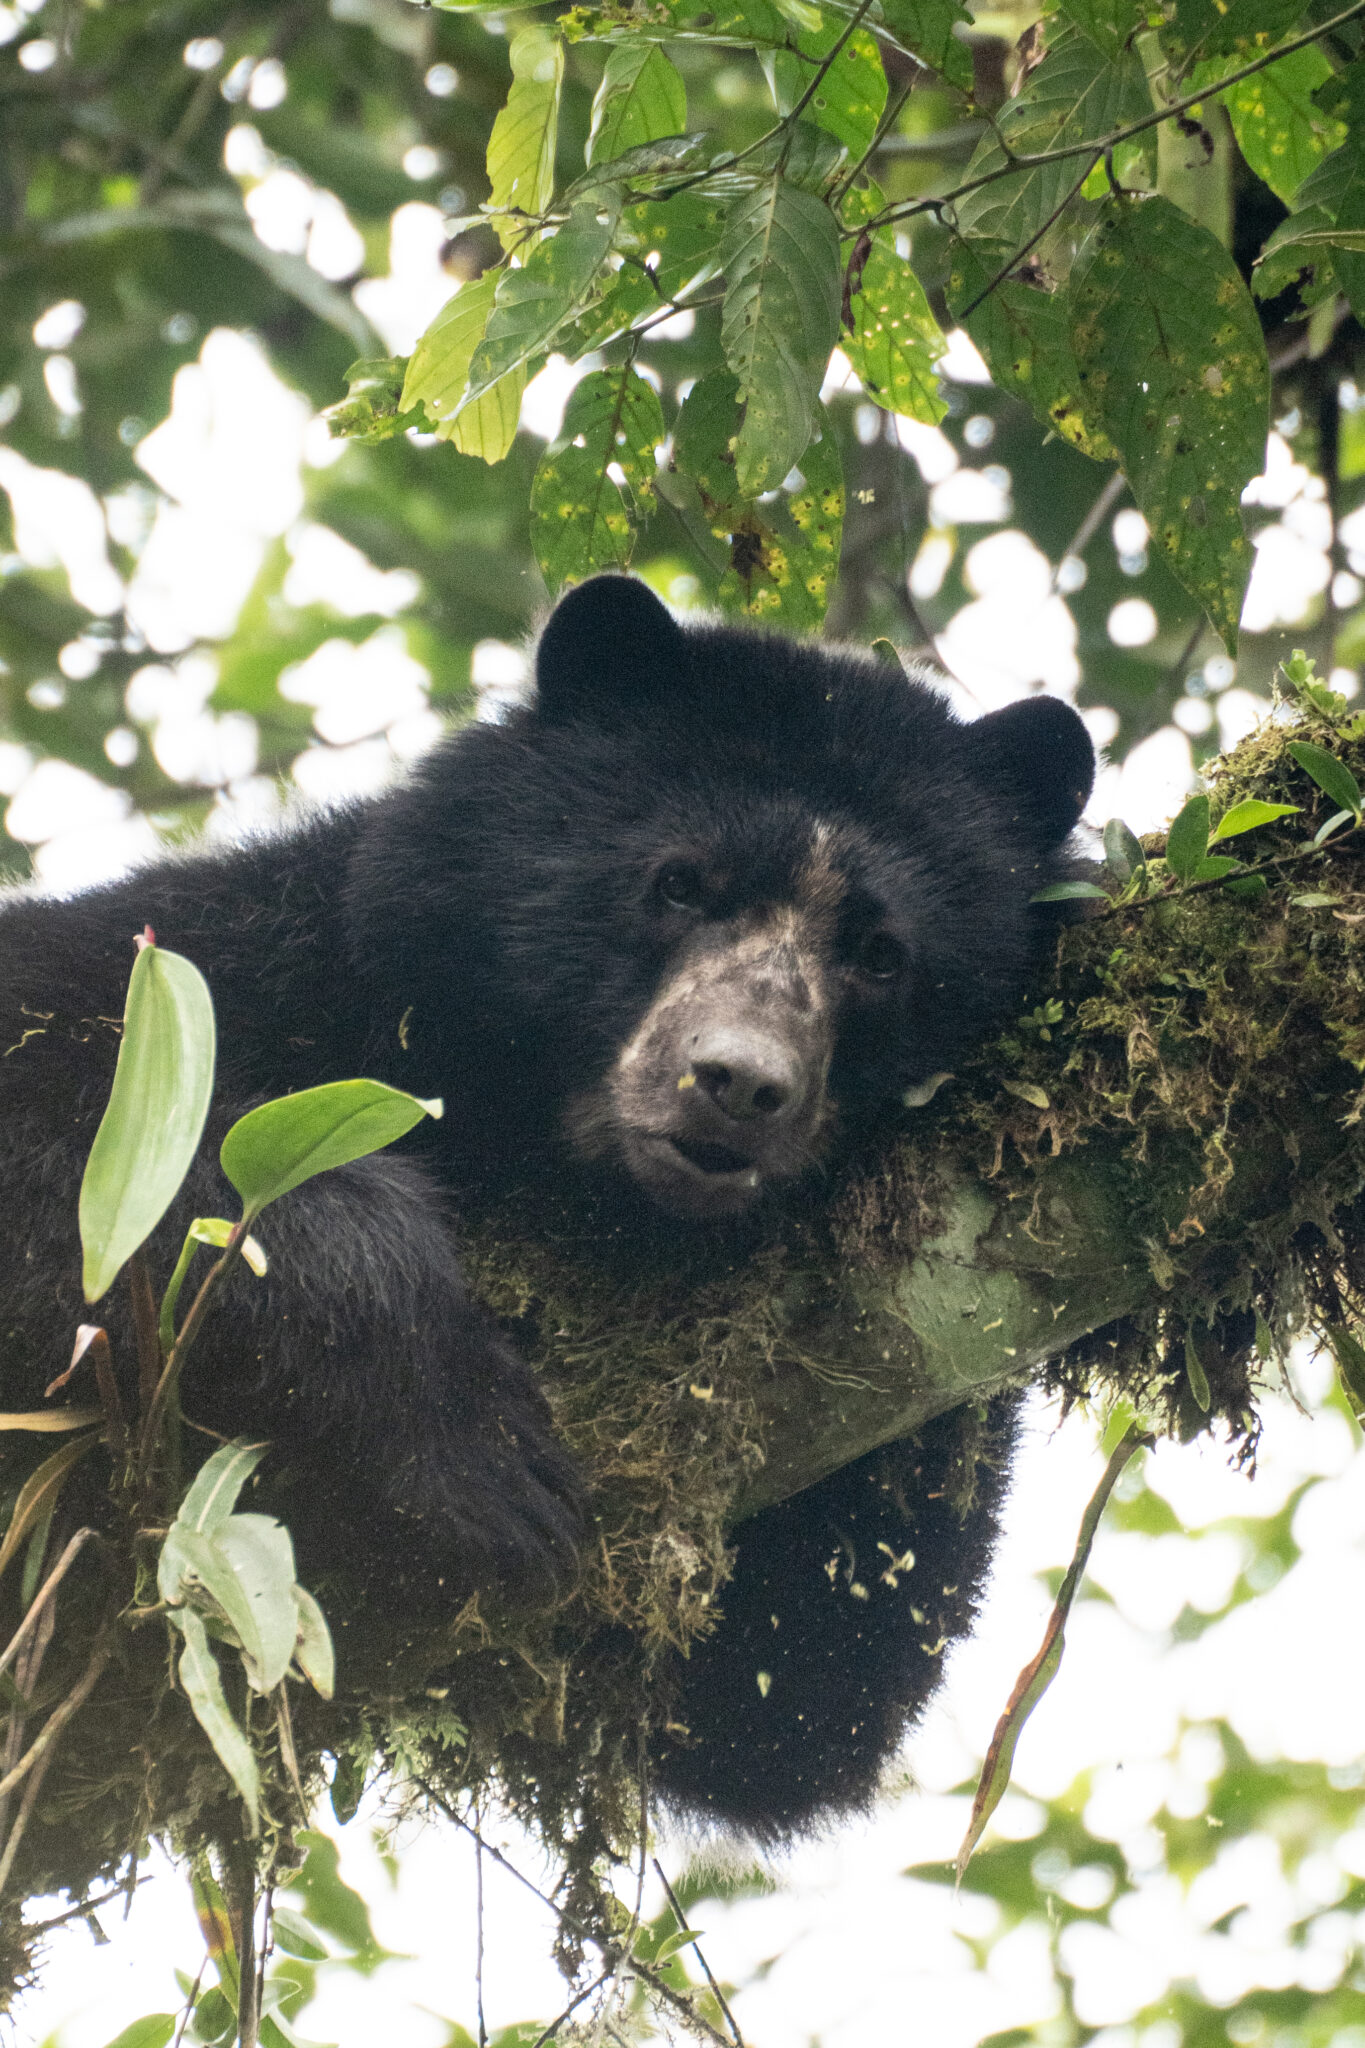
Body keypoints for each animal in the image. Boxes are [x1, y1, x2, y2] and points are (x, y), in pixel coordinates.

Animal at [0, 573, 1095, 1839]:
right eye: (680, 881)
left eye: (879, 952)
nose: (737, 1083)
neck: (556, 1158)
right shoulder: (243, 956)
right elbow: (80, 1089)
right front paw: (478, 1454)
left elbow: (789, 1688)